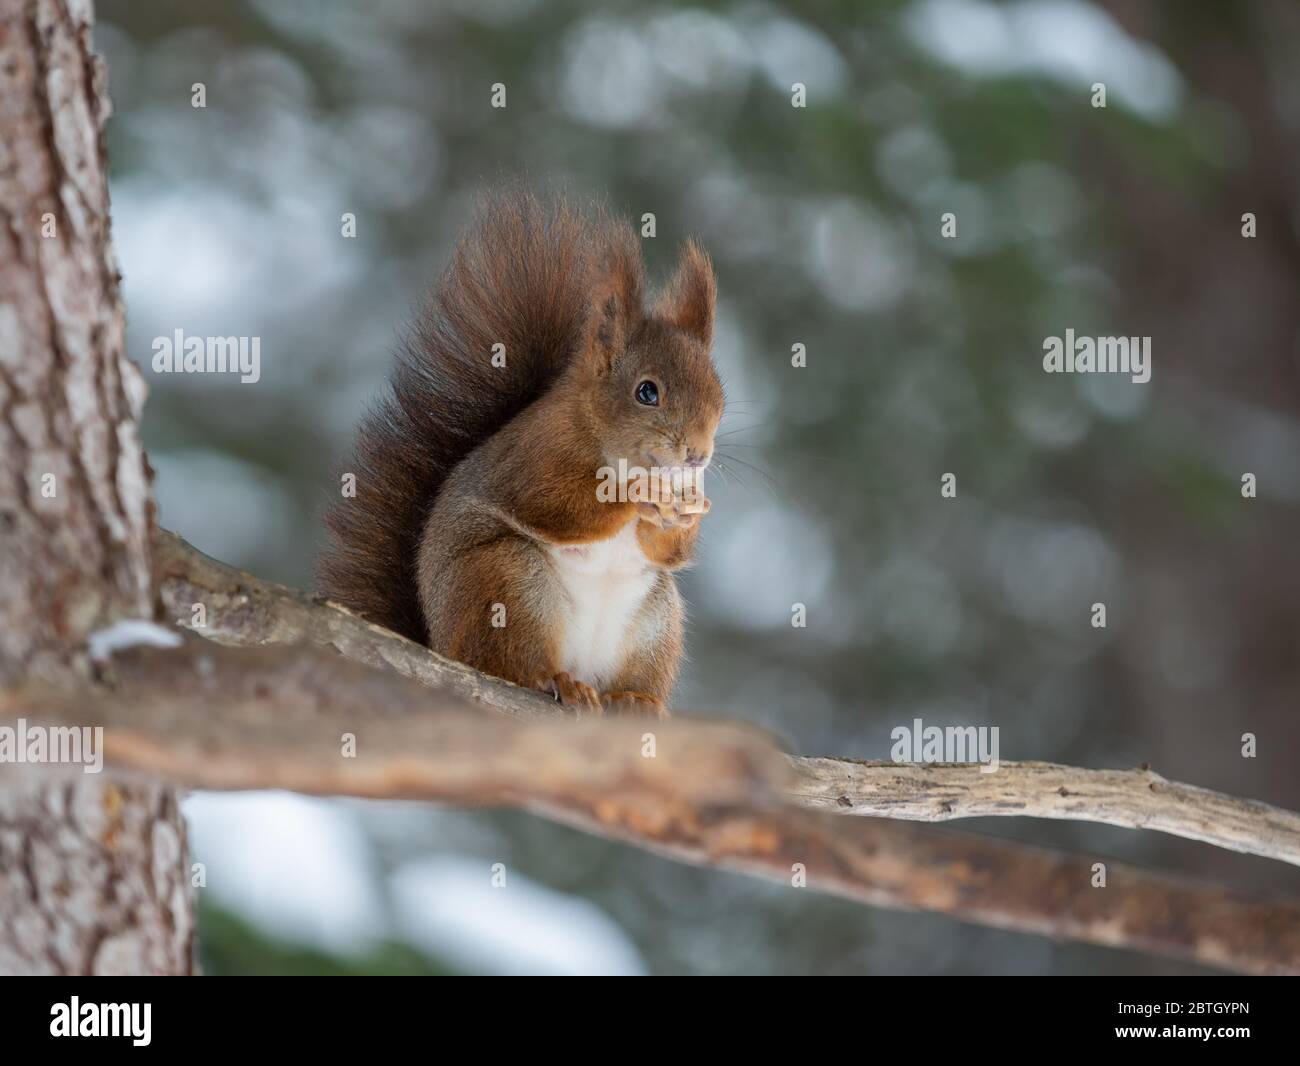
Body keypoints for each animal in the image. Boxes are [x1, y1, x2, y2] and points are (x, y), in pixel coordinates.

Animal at [316, 190, 723, 717]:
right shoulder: (534, 456)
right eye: (646, 392)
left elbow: (667, 550)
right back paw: (556, 681)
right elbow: (556, 505)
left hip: (655, 621)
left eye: (720, 393)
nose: (698, 456)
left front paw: (688, 512)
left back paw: (635, 698)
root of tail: (440, 647)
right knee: (510, 666)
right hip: (507, 583)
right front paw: (634, 494)